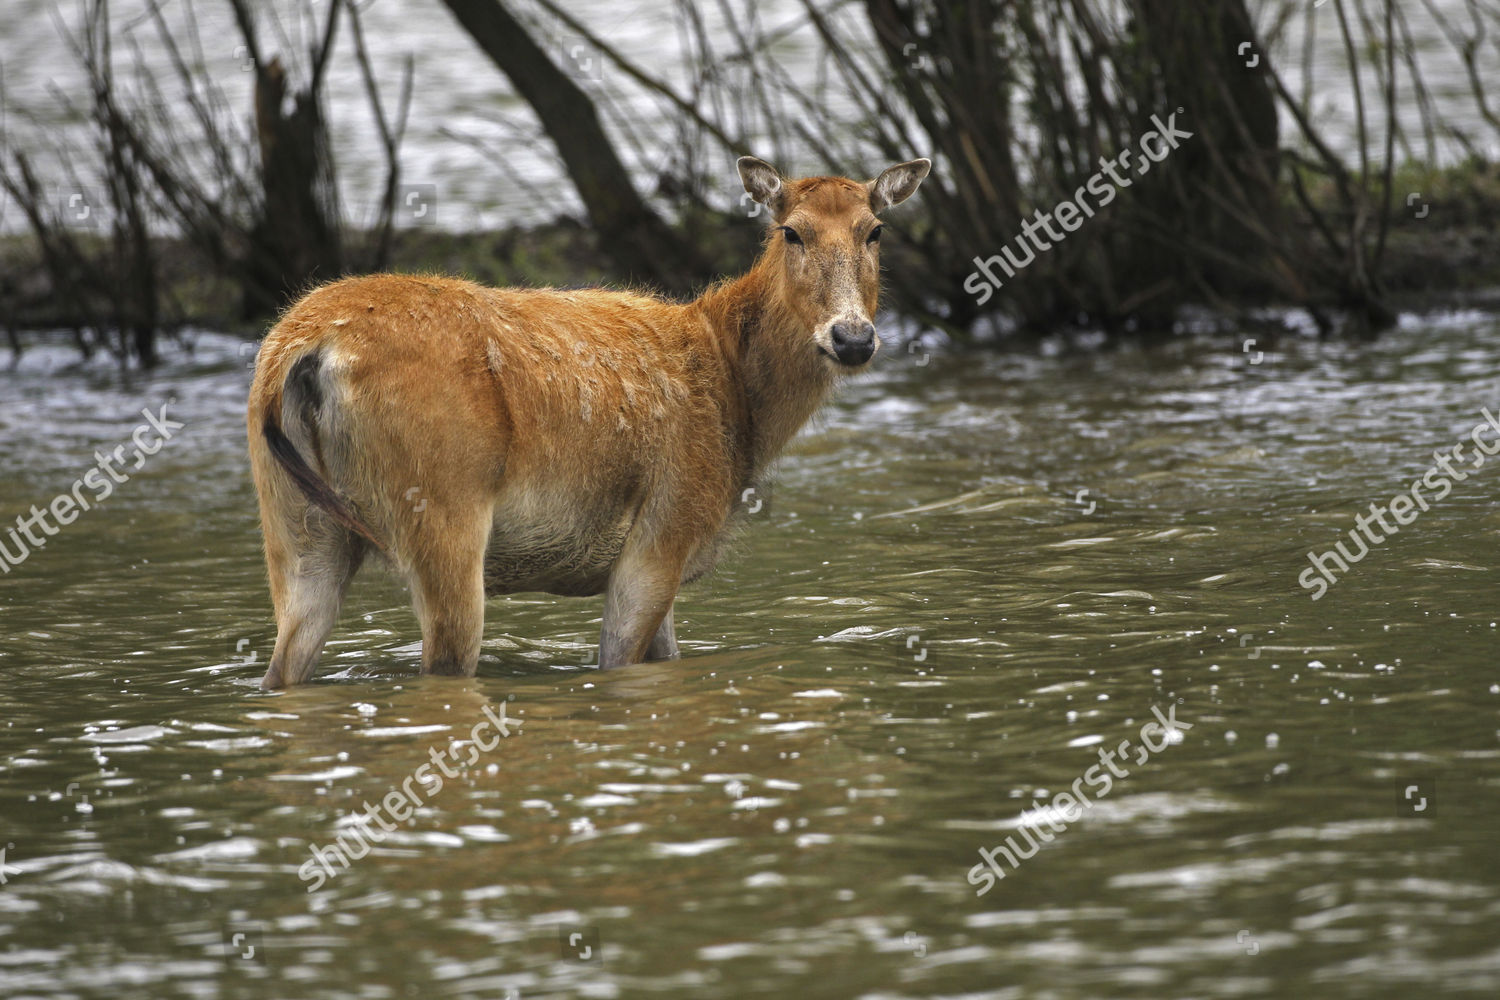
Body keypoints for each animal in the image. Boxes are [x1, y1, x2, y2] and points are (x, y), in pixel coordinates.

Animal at [246, 155, 931, 689]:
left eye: (874, 231)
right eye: (792, 232)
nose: (852, 337)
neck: (741, 408)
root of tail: (306, 354)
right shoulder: (666, 525)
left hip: (292, 522)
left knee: (284, 663)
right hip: (441, 505)